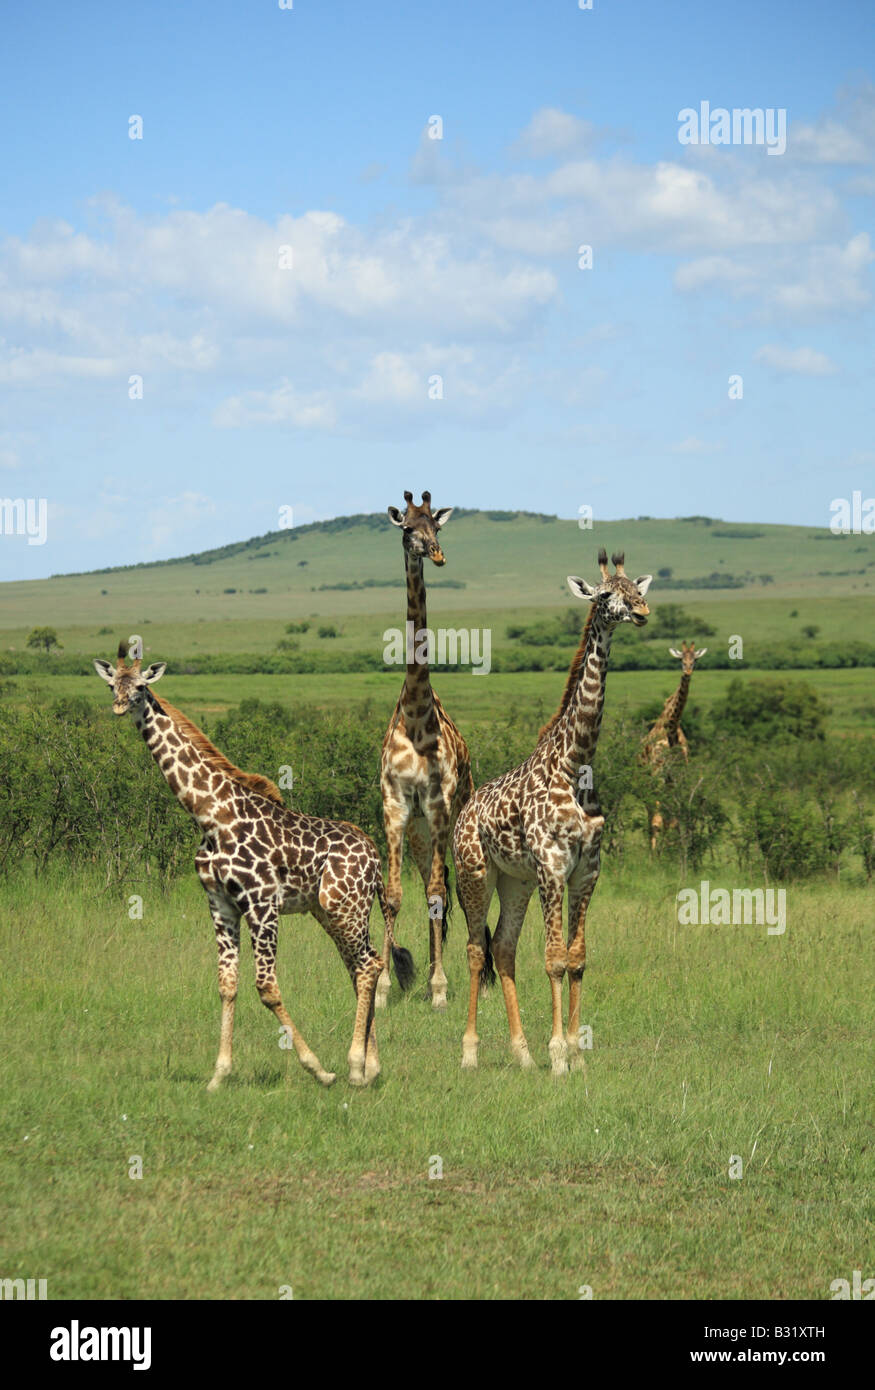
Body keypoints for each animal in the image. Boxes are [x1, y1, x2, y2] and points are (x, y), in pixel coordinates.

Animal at [93, 643, 413, 1089]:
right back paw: (372, 1066)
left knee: (367, 966)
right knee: (361, 966)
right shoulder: (220, 903)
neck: (210, 815)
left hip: (344, 907)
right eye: (112, 685)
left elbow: (266, 987)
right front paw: (218, 1075)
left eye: (140, 686)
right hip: (332, 912)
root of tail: (376, 861)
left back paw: (353, 1067)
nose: (121, 706)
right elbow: (227, 984)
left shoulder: (261, 903)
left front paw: (318, 1069)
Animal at [453, 550, 652, 1075]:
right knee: (476, 949)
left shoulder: (587, 870)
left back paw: (520, 1053)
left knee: (503, 948)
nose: (642, 610)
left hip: (514, 880)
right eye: (605, 595)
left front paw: (576, 1056)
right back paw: (470, 1053)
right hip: (475, 874)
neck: (575, 761)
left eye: (636, 587)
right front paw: (559, 1055)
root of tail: (463, 811)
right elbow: (555, 959)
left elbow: (577, 958)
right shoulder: (552, 866)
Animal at [639, 641, 707, 850]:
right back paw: (653, 849)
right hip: (649, 781)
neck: (671, 730)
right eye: (680, 659)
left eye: (695, 659)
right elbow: (660, 819)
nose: (688, 671)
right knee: (651, 813)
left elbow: (677, 816)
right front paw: (657, 853)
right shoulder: (658, 774)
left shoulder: (677, 776)